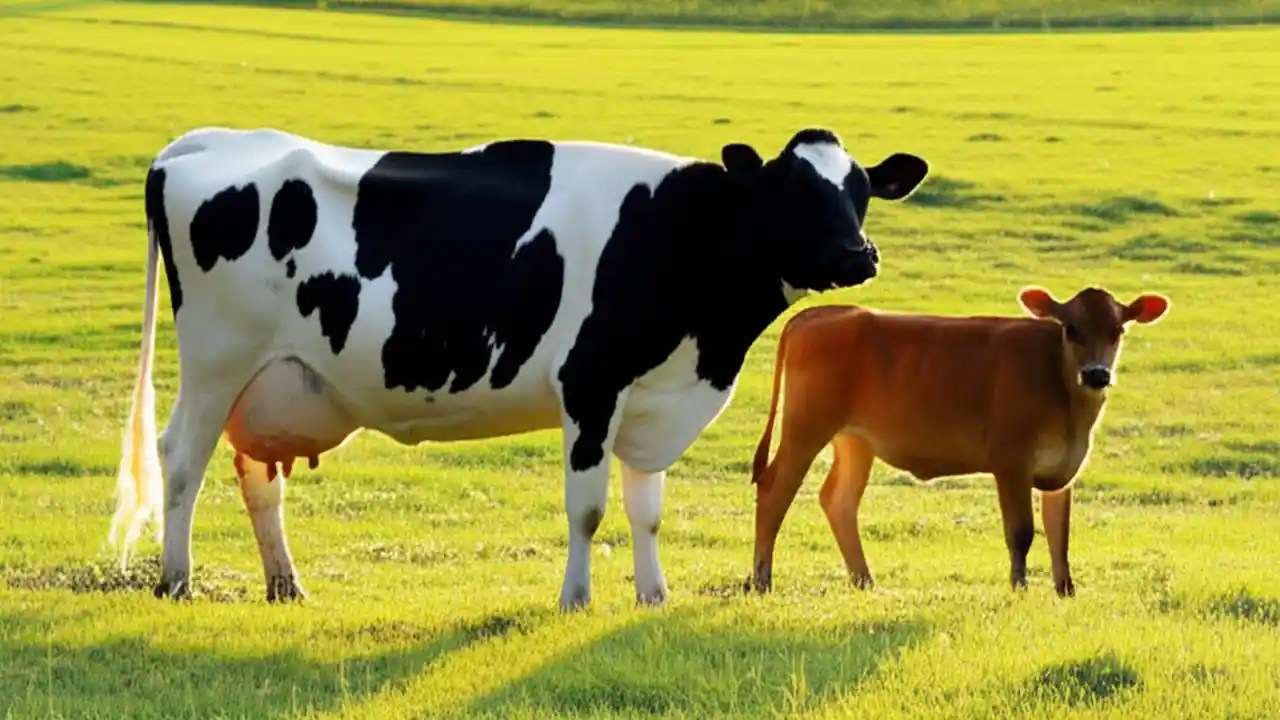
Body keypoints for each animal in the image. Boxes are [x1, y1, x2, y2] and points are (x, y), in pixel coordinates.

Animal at [108, 126, 929, 609]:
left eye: (861, 192)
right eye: (795, 191)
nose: (858, 255)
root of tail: (201, 143)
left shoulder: (655, 397)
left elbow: (647, 509)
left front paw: (654, 596)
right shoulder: (591, 386)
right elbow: (588, 509)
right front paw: (576, 599)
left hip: (272, 377)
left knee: (254, 474)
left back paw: (285, 585)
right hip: (217, 359)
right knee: (181, 459)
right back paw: (176, 581)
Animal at [748, 286, 1169, 597]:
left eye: (1119, 331)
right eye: (1070, 328)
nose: (1097, 374)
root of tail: (822, 312)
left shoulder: (1063, 470)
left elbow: (1059, 532)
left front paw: (1066, 591)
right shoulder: (1011, 461)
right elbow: (1022, 531)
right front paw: (1019, 588)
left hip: (854, 441)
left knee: (839, 500)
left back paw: (864, 580)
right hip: (805, 428)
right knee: (775, 490)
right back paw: (762, 580)